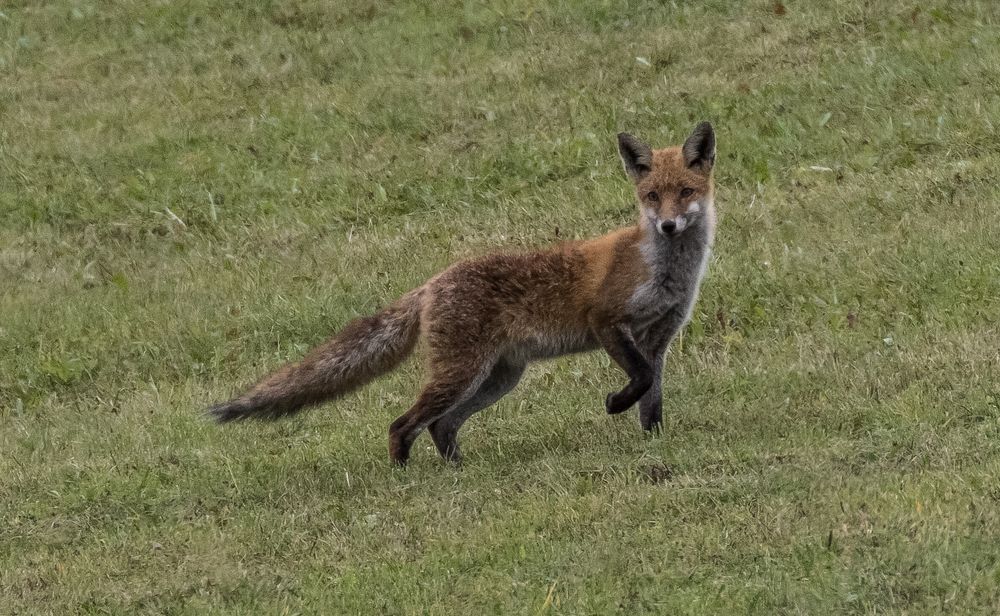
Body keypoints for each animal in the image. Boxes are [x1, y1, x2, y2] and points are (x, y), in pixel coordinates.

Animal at [210, 122, 717, 466]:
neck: (665, 269)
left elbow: (652, 394)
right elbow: (640, 380)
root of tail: (431, 283)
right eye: (652, 196)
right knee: (403, 424)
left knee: (440, 425)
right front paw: (616, 405)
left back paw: (458, 469)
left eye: (685, 191)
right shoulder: (607, 320)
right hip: (462, 374)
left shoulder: (659, 336)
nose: (668, 226)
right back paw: (403, 475)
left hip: (496, 378)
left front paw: (654, 443)